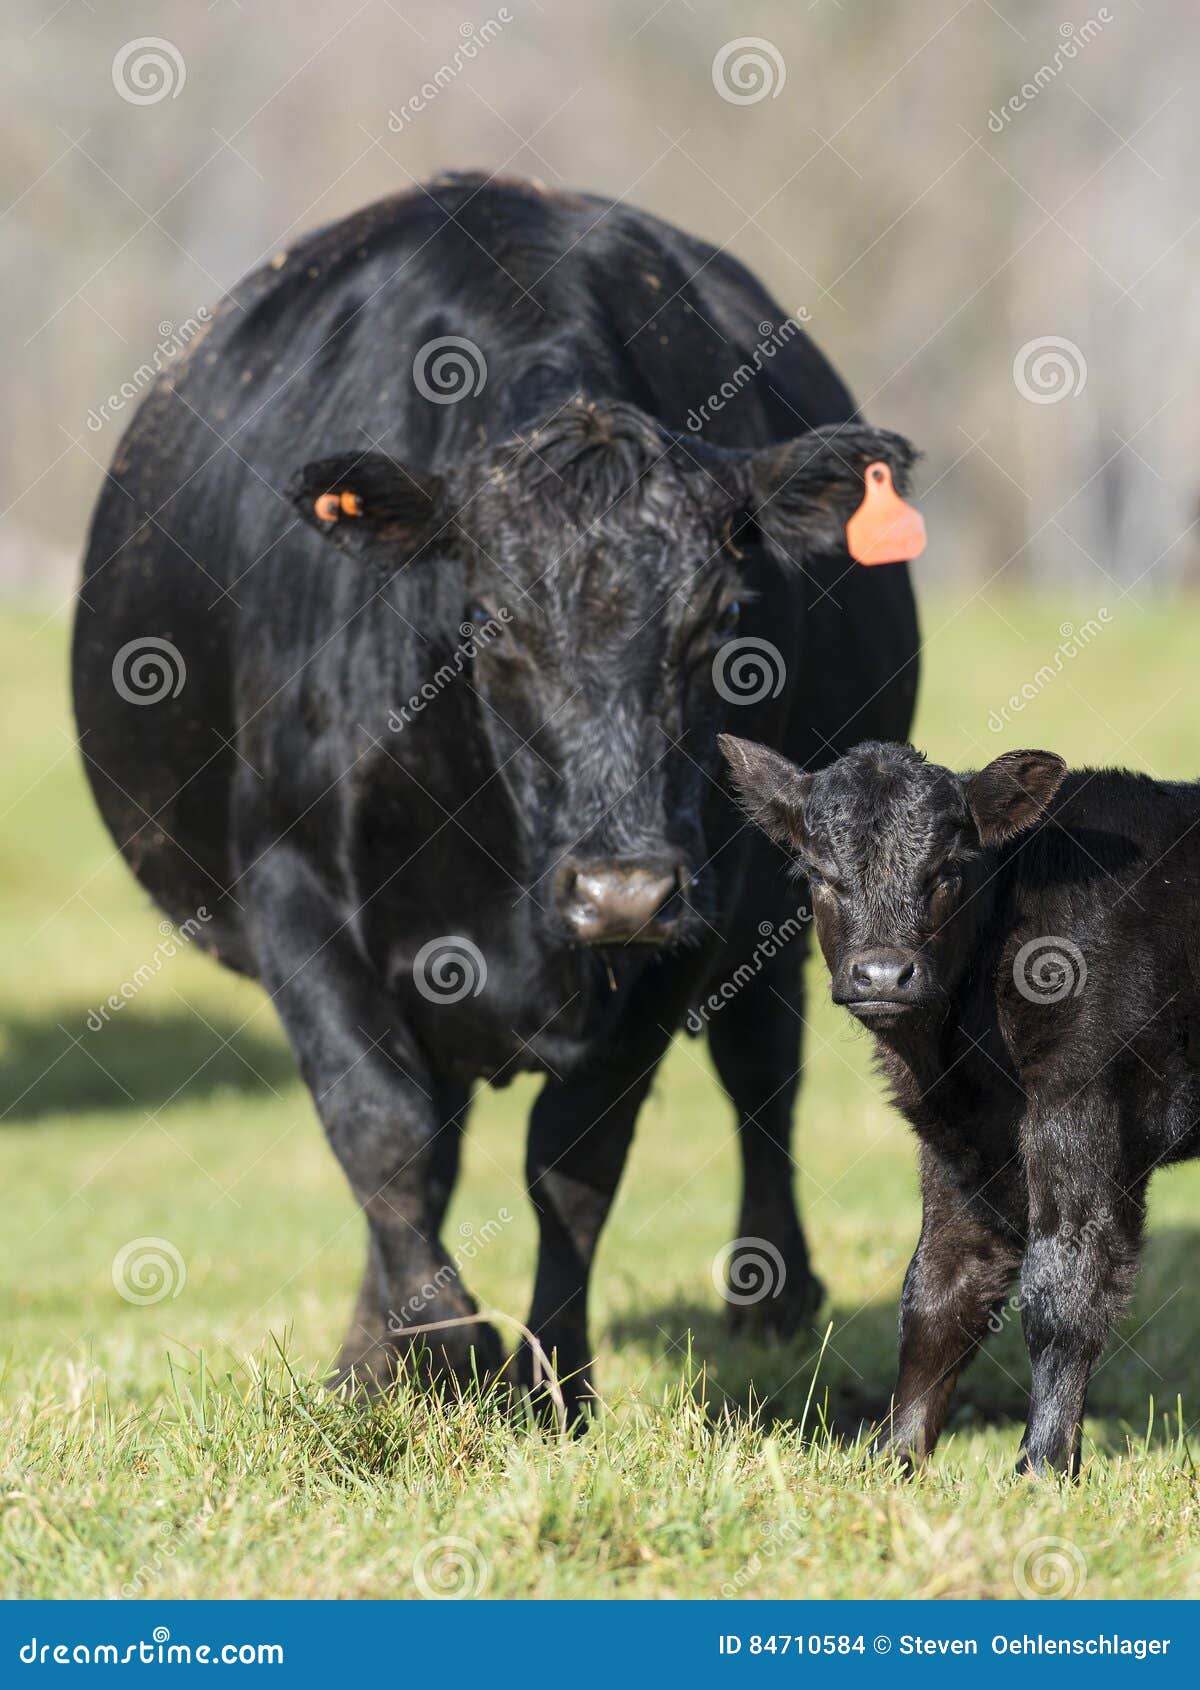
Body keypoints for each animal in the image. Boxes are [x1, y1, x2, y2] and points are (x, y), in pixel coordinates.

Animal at [72, 174, 921, 1414]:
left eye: (722, 620)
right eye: (488, 620)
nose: (620, 889)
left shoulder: (695, 913)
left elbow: (573, 1164)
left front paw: (554, 1383)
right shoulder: (291, 889)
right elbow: (383, 1134)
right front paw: (435, 1347)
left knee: (762, 1066)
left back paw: (771, 1296)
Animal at [721, 732, 1200, 1474]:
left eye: (948, 871)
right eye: (819, 875)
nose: (882, 974)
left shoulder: (1083, 1105)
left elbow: (1065, 1286)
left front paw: (1041, 1467)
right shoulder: (963, 1143)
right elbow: (939, 1293)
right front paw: (893, 1459)